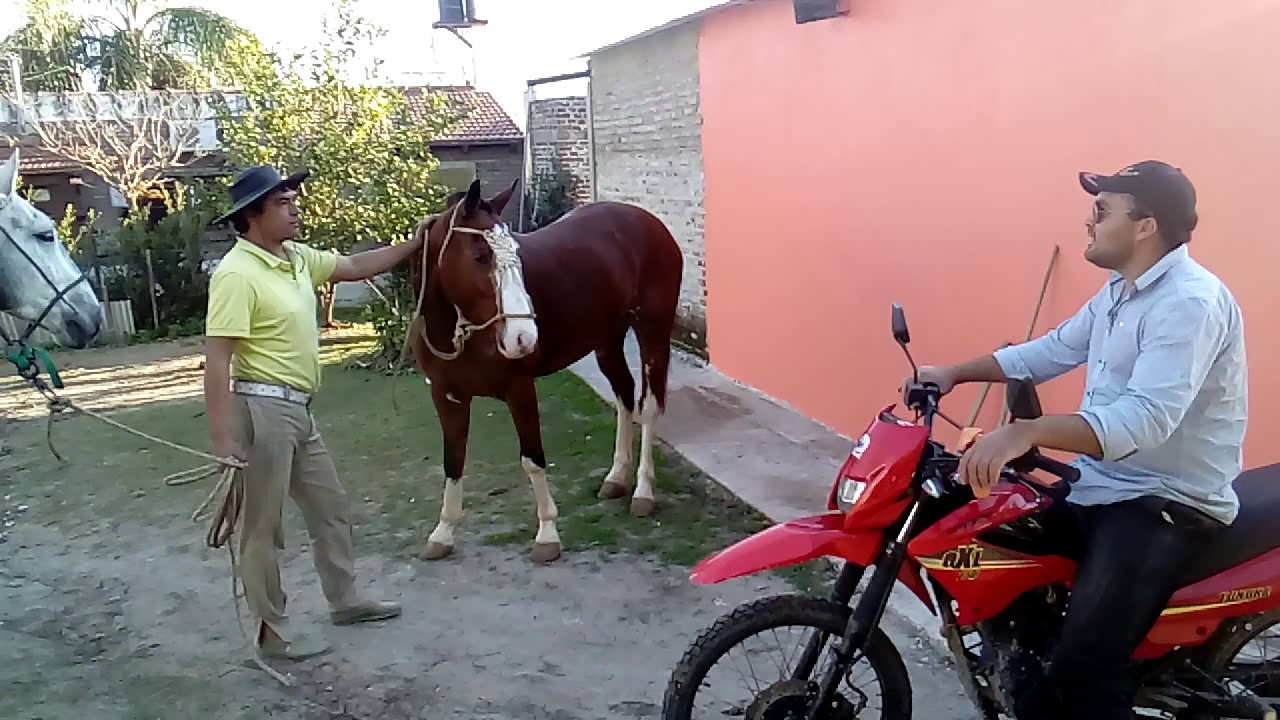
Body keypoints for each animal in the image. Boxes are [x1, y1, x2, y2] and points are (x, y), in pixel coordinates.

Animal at [407, 178, 684, 564]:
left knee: (648, 405)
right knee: (624, 395)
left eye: (517, 254)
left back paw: (643, 490)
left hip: (653, 332)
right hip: (607, 340)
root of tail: (649, 222)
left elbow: (533, 459)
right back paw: (616, 477)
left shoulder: (520, 389)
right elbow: (453, 460)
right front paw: (443, 532)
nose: (524, 337)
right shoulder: (446, 396)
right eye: (480, 256)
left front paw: (548, 533)